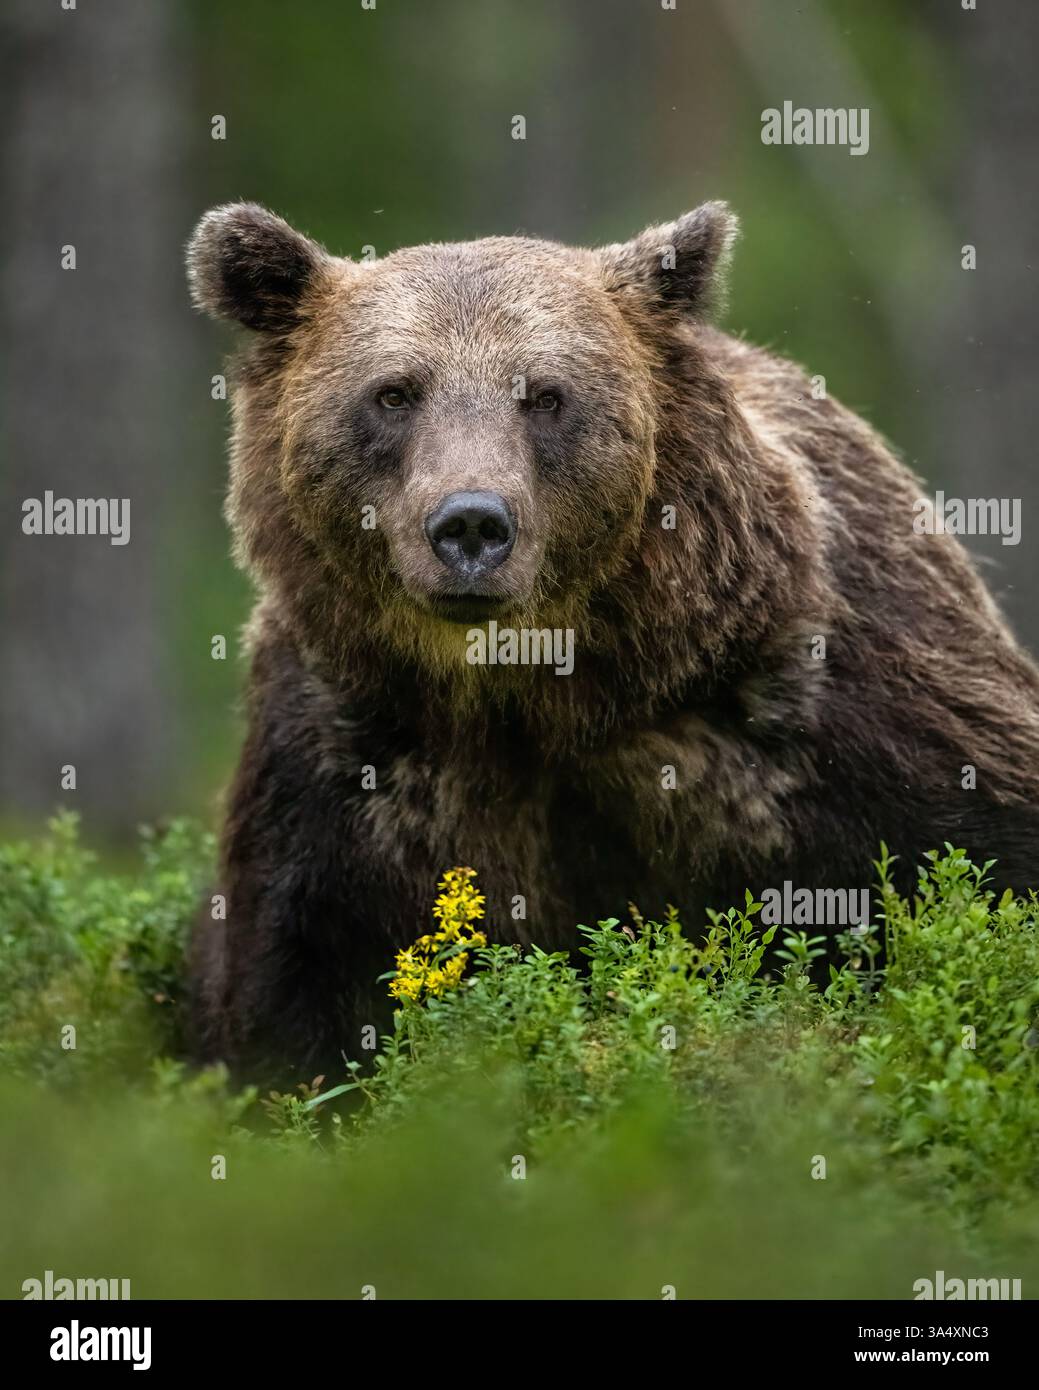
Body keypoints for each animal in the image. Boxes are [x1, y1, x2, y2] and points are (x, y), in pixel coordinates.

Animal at [185, 200, 1039, 1076]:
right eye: (393, 393)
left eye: (545, 395)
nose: (470, 525)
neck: (548, 692)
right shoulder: (351, 757)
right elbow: (296, 991)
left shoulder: (819, 709)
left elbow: (979, 855)